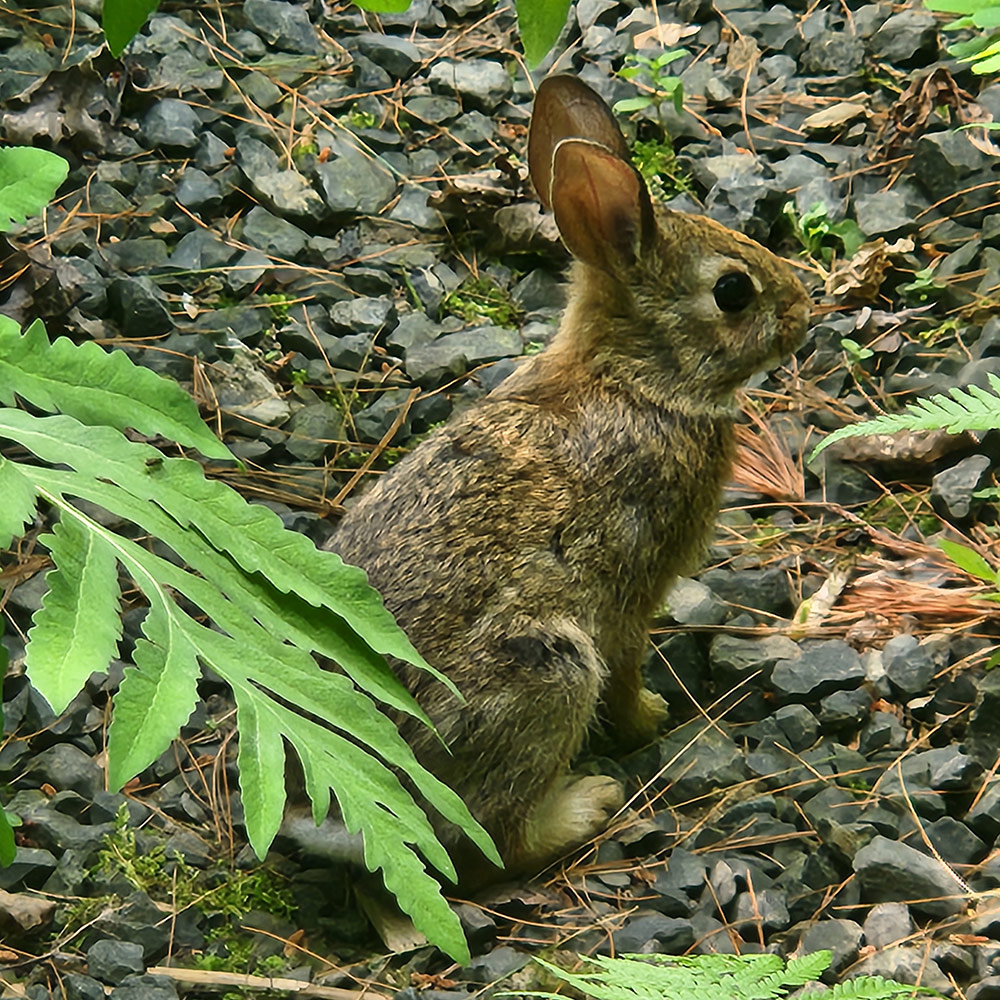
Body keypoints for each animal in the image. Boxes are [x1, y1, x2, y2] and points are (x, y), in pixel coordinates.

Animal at [314, 74, 810, 886]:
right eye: (733, 293)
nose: (804, 312)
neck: (639, 381)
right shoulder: (633, 587)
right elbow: (629, 659)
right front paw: (649, 719)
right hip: (547, 671)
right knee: (491, 841)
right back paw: (587, 805)